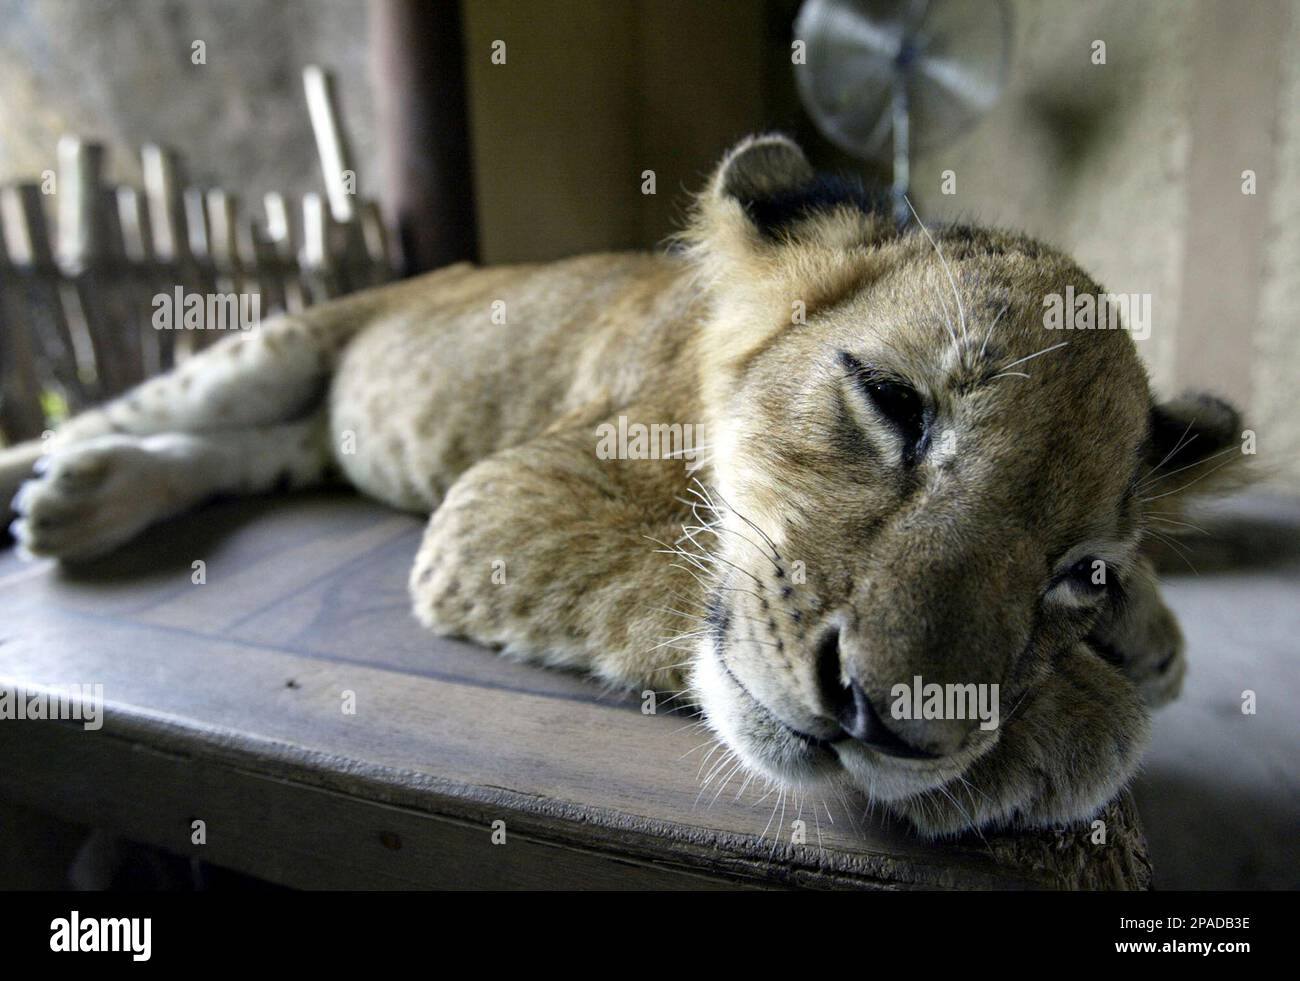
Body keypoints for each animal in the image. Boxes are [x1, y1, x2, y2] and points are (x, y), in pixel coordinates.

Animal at [3, 135, 1243, 836]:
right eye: (894, 403)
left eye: (1078, 571)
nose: (895, 728)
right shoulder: (504, 495)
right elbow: (660, 568)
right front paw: (1073, 727)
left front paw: (1145, 639)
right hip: (273, 346)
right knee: (167, 405)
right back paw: (48, 481)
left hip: (306, 432)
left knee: (242, 448)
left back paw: (82, 498)